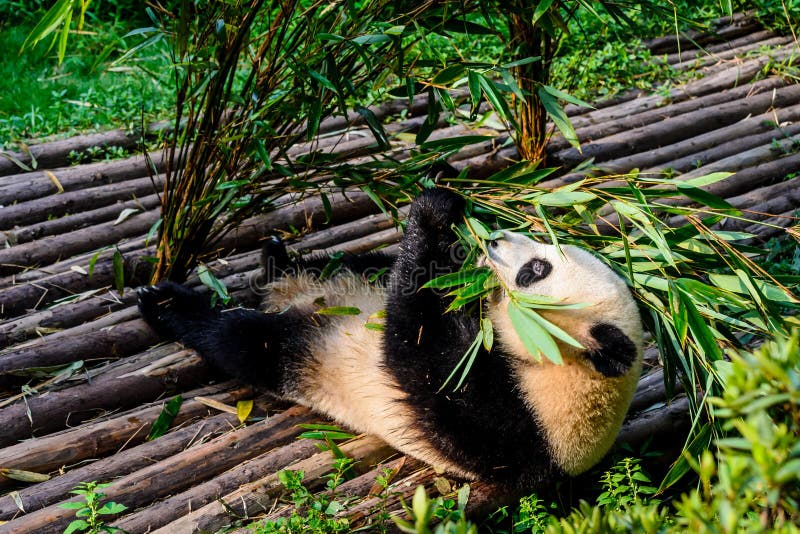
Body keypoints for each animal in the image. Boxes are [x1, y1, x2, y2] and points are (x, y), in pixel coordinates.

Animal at [137, 188, 643, 491]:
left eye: (537, 270)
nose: (495, 238)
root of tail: (294, 299)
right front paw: (453, 225)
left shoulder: (513, 425)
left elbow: (421, 353)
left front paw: (433, 216)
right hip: (345, 278)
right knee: (345, 263)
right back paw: (277, 258)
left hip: (303, 350)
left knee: (242, 341)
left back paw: (168, 306)